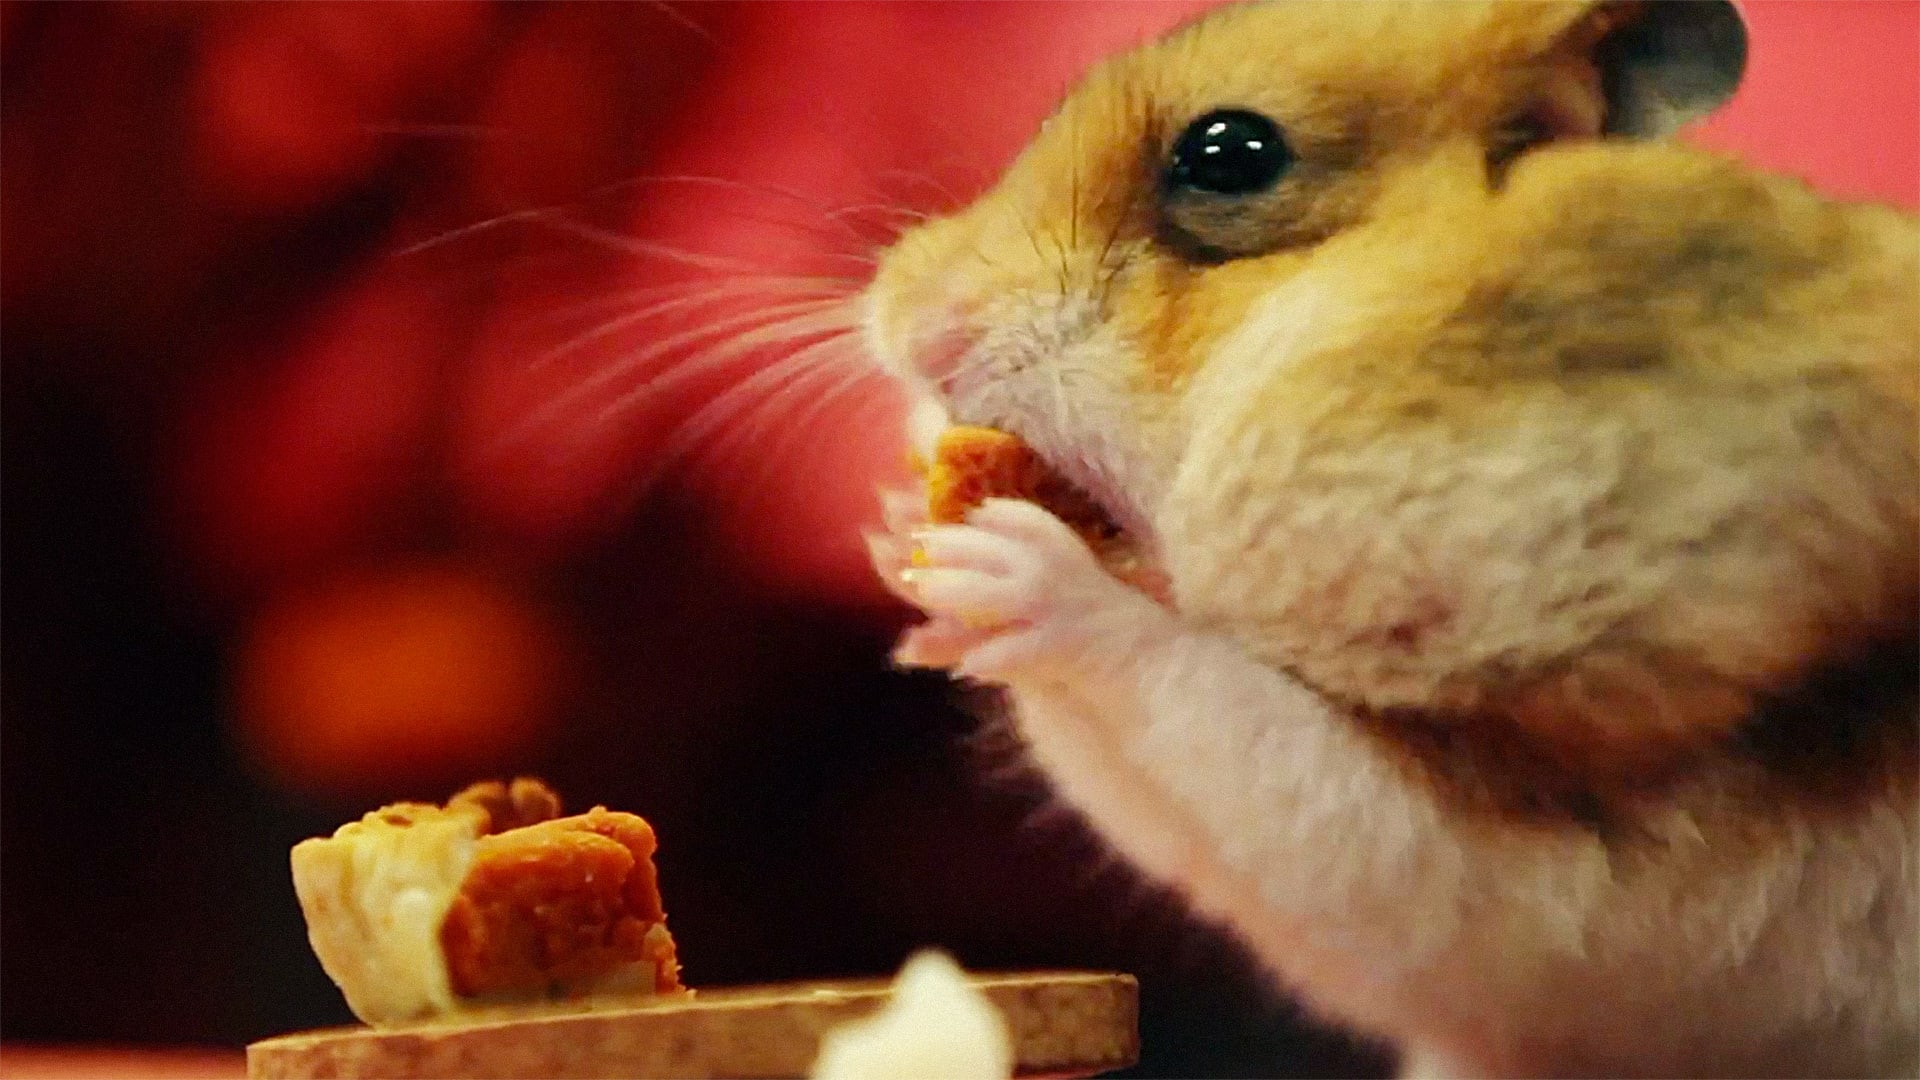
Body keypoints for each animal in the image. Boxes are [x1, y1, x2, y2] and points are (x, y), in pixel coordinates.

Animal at [859, 2, 1919, 1076]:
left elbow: (1218, 709)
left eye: (1230, 156)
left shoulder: (1535, 861)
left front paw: (1005, 563)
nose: (904, 326)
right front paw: (899, 528)